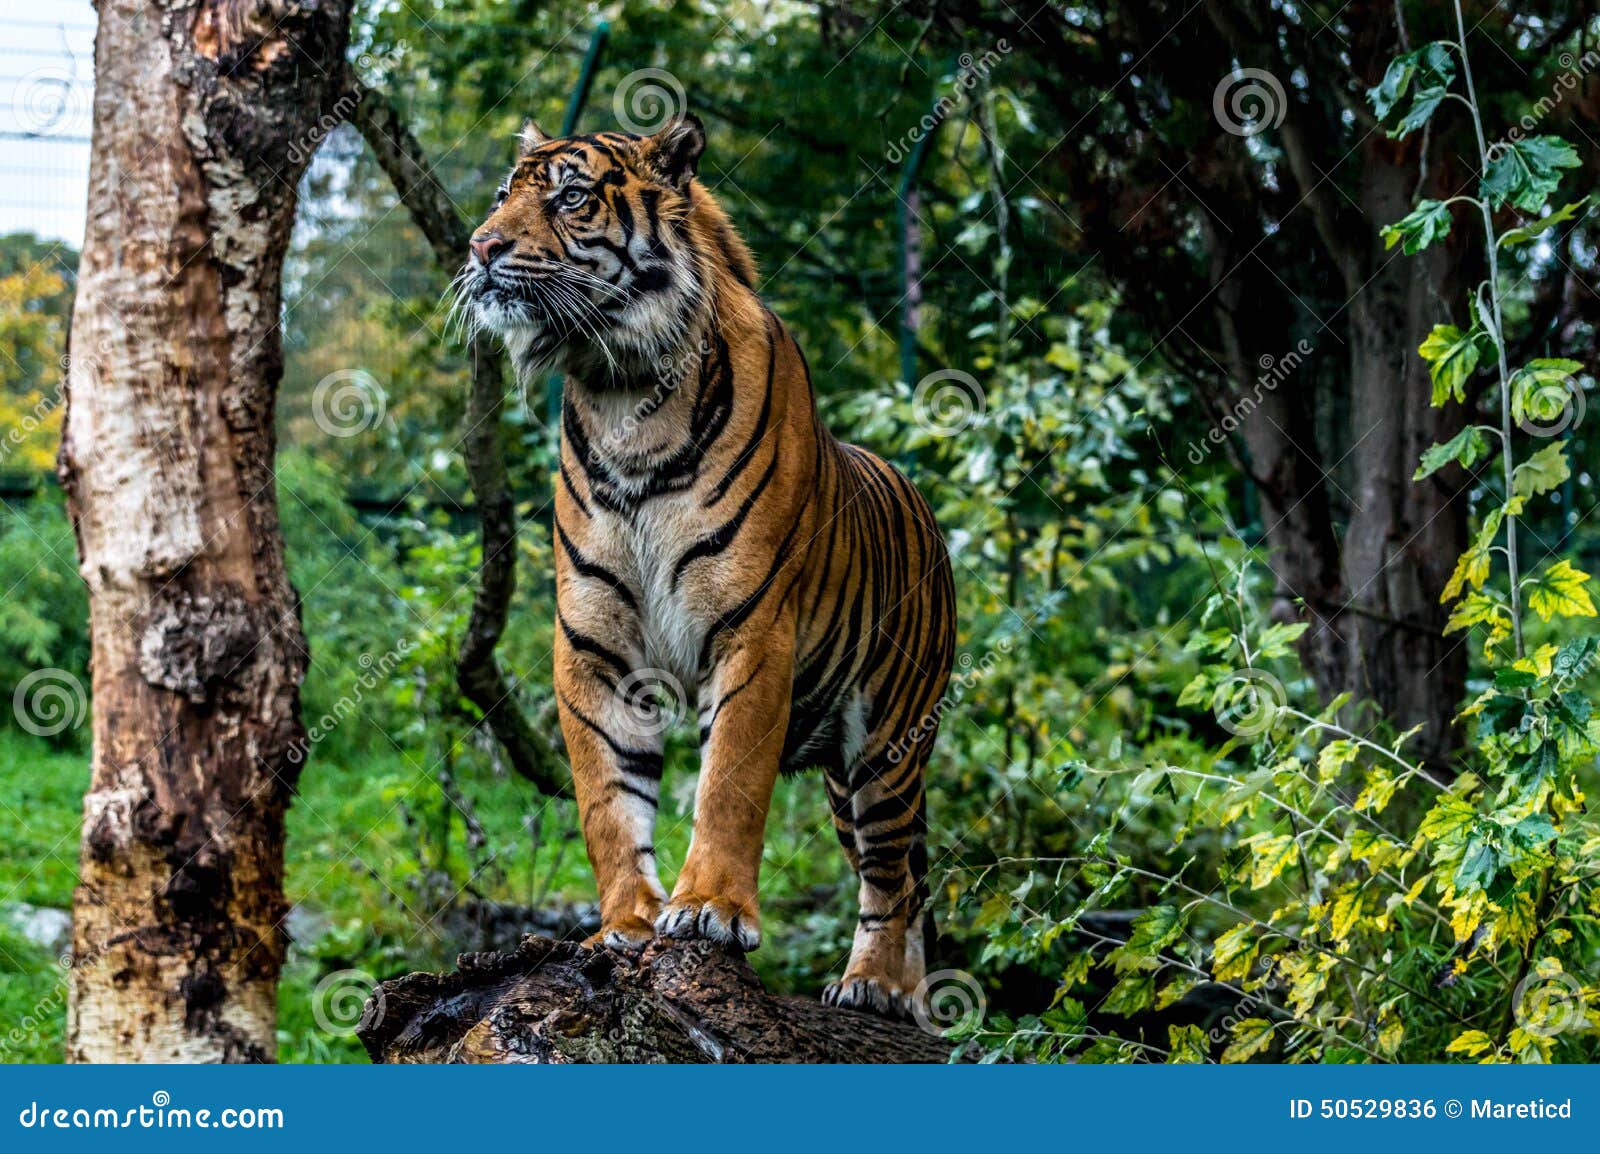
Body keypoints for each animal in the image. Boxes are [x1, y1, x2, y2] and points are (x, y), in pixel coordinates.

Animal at [463, 112, 956, 1015]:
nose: (481, 247)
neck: (620, 392)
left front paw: (708, 911)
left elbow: (729, 780)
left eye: (571, 199)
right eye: (502, 196)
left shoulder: (753, 629)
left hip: (889, 745)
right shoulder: (593, 652)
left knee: (893, 874)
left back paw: (876, 988)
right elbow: (607, 801)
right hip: (845, 780)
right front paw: (625, 923)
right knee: (896, 868)